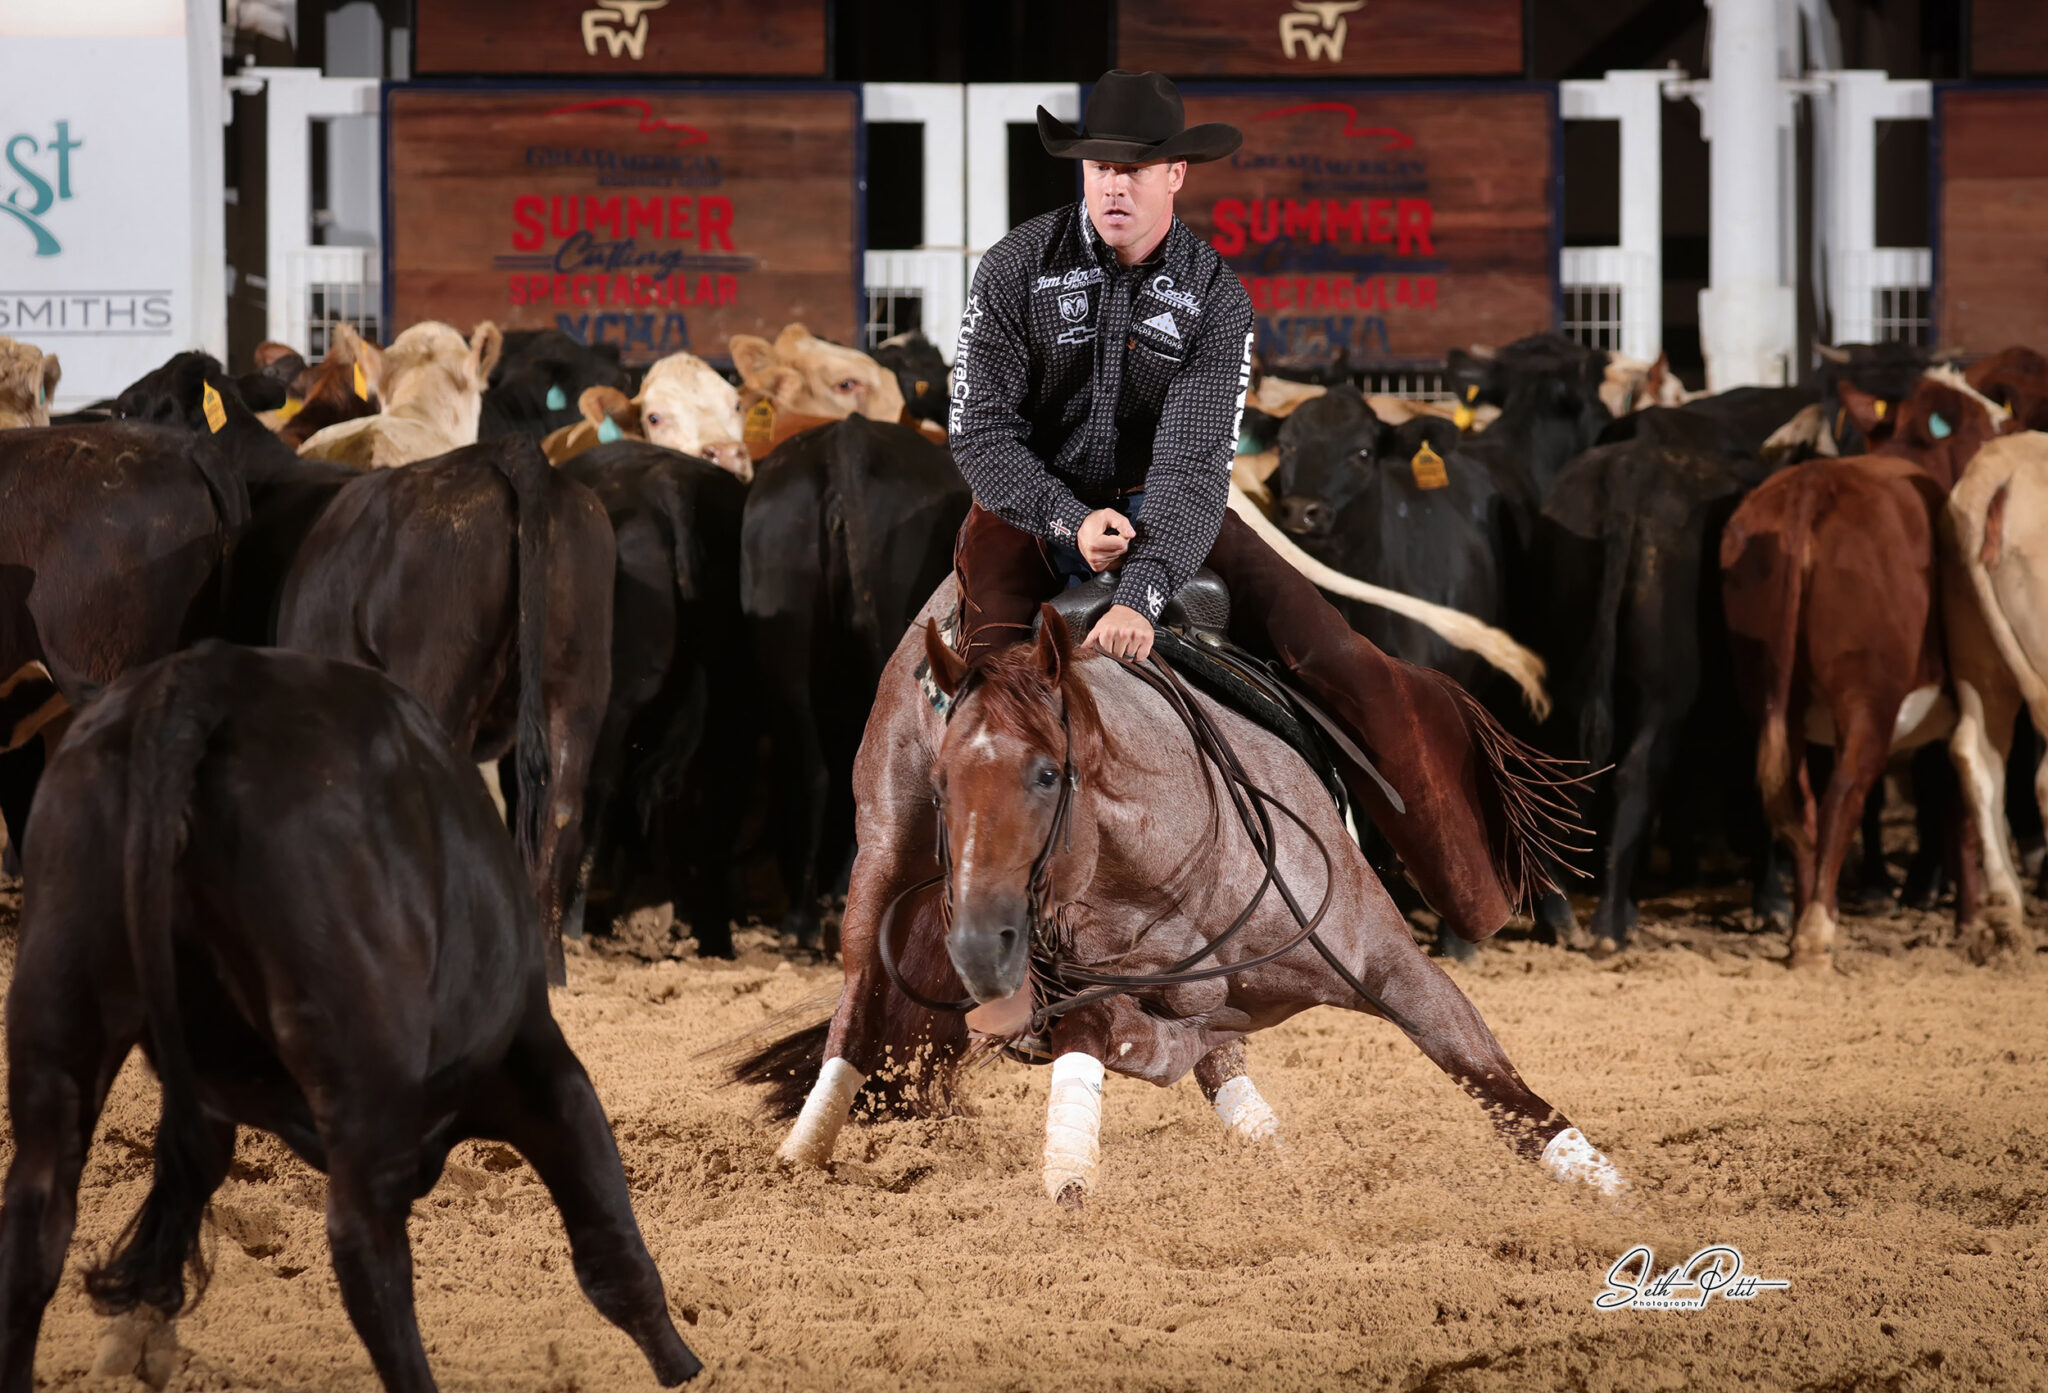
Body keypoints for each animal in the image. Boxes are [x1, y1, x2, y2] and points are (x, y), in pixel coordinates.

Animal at [736, 580, 1626, 1207]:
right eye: (944, 782)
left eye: (1049, 773)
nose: (979, 947)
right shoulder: (1107, 1004)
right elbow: (1116, 1039)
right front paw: (1071, 1167)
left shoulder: (1389, 964)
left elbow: (1490, 1078)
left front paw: (1610, 1186)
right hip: (882, 863)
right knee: (859, 1007)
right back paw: (801, 1152)